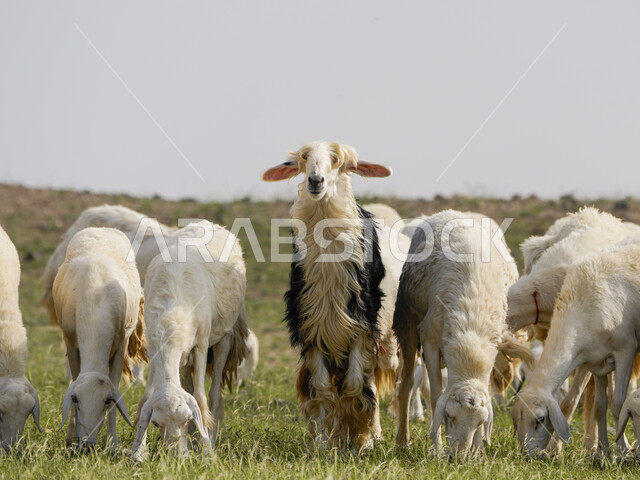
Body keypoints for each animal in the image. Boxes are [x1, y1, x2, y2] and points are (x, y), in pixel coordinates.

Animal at [53, 227, 146, 451]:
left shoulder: (121, 346)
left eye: (106, 401)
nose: (88, 445)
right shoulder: (71, 343)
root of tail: (100, 228)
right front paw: (71, 438)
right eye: (75, 400)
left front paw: (112, 444)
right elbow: (74, 377)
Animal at [130, 221, 247, 461]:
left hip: (223, 339)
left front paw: (207, 452)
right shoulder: (154, 349)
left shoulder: (201, 346)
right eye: (155, 423)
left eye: (185, 419)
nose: (176, 457)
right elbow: (145, 398)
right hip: (184, 359)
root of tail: (208, 223)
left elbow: (200, 400)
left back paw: (209, 439)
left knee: (214, 396)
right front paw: (139, 452)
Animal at [262, 141, 405, 451]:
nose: (316, 181)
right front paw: (325, 444)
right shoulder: (314, 330)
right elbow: (324, 388)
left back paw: (374, 434)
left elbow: (355, 385)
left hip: (386, 340)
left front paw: (361, 440)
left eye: (339, 161)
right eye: (304, 159)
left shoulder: (362, 328)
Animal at [393, 210, 532, 454]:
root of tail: (456, 212)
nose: (458, 457)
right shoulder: (430, 341)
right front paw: (437, 449)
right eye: (449, 416)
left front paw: (476, 451)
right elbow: (436, 396)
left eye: (479, 423)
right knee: (407, 386)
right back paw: (402, 441)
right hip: (407, 325)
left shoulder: (492, 348)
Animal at [512, 240, 640, 457]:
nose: (529, 455)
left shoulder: (626, 351)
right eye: (516, 421)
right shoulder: (599, 362)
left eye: (540, 419)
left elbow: (617, 406)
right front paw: (603, 453)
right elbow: (600, 406)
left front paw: (622, 451)